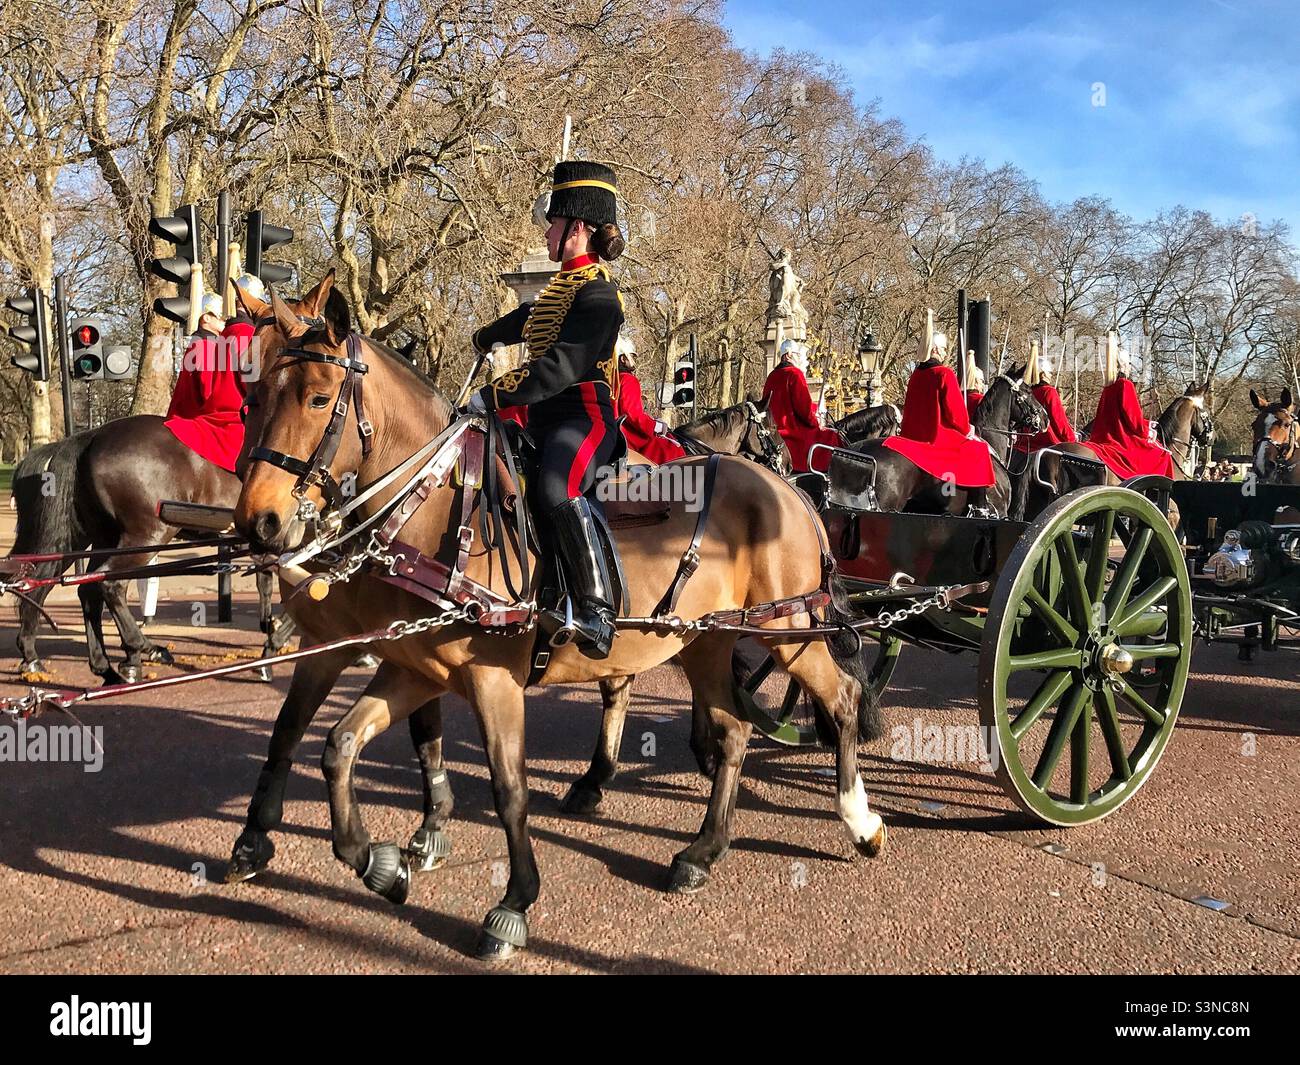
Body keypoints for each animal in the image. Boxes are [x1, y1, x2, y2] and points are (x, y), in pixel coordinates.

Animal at [7, 423, 293, 685]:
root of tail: (92, 435)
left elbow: (268, 584)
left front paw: (270, 628)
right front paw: (272, 647)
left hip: (92, 538)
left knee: (67, 588)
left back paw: (80, 663)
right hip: (145, 536)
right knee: (109, 584)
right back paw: (141, 648)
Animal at [230, 273, 886, 960]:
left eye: (318, 397)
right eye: (254, 396)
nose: (258, 522)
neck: (437, 507)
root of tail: (786, 490)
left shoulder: (489, 678)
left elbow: (509, 788)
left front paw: (513, 903)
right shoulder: (412, 665)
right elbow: (337, 745)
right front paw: (379, 863)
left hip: (785, 630)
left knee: (841, 698)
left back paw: (859, 820)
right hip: (707, 640)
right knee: (734, 728)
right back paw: (702, 852)